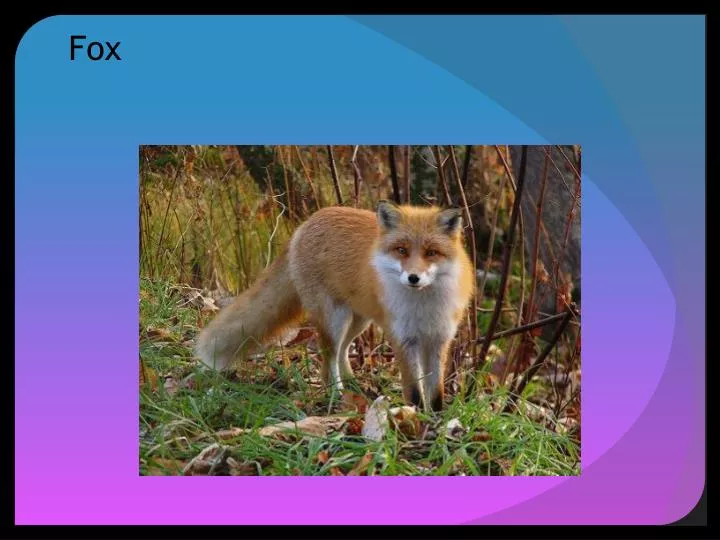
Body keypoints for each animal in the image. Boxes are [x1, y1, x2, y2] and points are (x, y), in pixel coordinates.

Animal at [194, 200, 475, 412]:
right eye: (401, 250)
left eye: (431, 252)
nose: (413, 278)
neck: (424, 307)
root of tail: (305, 224)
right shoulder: (403, 339)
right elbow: (415, 392)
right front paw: (415, 418)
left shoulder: (438, 340)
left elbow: (435, 391)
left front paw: (436, 420)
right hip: (334, 319)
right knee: (328, 357)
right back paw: (337, 394)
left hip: (359, 320)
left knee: (342, 351)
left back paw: (354, 387)